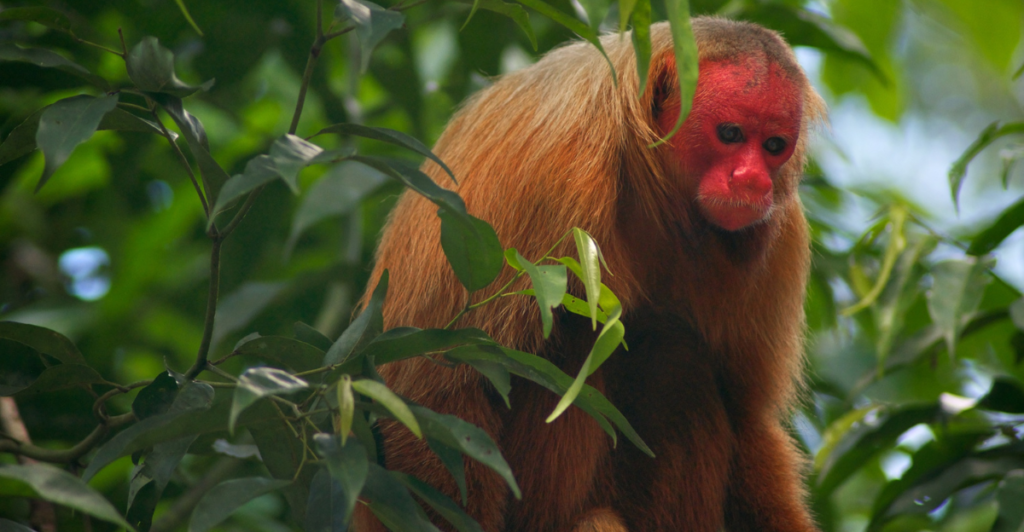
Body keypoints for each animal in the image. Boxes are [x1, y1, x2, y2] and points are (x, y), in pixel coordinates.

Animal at [352, 16, 826, 532]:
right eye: (731, 133)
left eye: (774, 146)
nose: (753, 181)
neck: (654, 185)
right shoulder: (544, 172)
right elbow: (433, 383)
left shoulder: (780, 236)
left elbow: (747, 417)